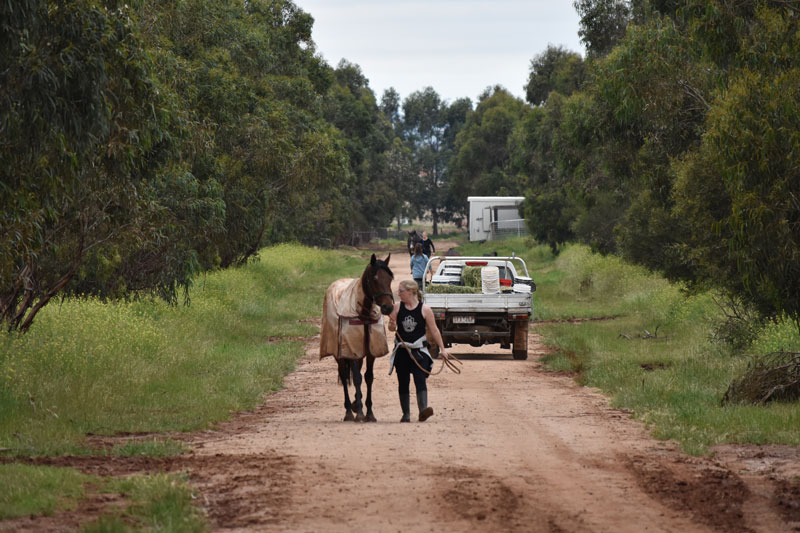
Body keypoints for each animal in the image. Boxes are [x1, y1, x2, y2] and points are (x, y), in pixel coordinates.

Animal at [319, 254, 394, 422]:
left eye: (390, 279)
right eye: (375, 279)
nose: (388, 307)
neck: (363, 313)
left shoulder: (369, 351)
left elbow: (368, 377)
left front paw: (369, 413)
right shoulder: (352, 349)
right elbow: (358, 378)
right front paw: (360, 412)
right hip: (340, 354)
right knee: (344, 374)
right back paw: (349, 411)